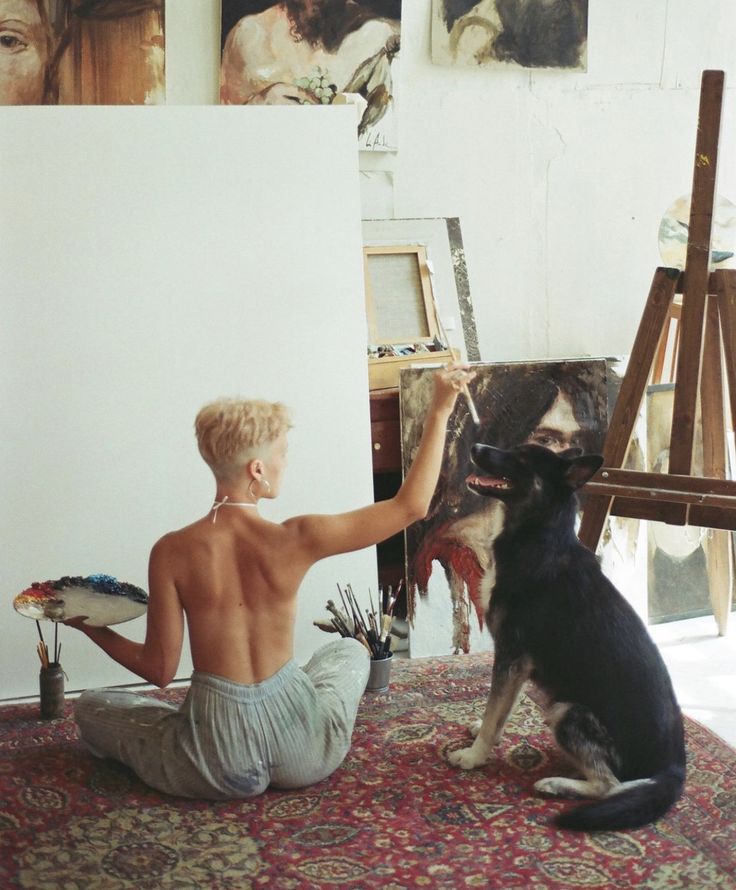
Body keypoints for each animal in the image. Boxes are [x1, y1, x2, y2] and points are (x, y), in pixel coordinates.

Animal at [446, 448, 688, 828]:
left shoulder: (511, 657)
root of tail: (675, 768)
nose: (476, 448)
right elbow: (501, 711)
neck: (540, 536)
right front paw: (486, 737)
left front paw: (474, 756)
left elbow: (494, 708)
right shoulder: (517, 666)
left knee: (611, 786)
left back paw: (557, 785)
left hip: (567, 712)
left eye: (521, 457)